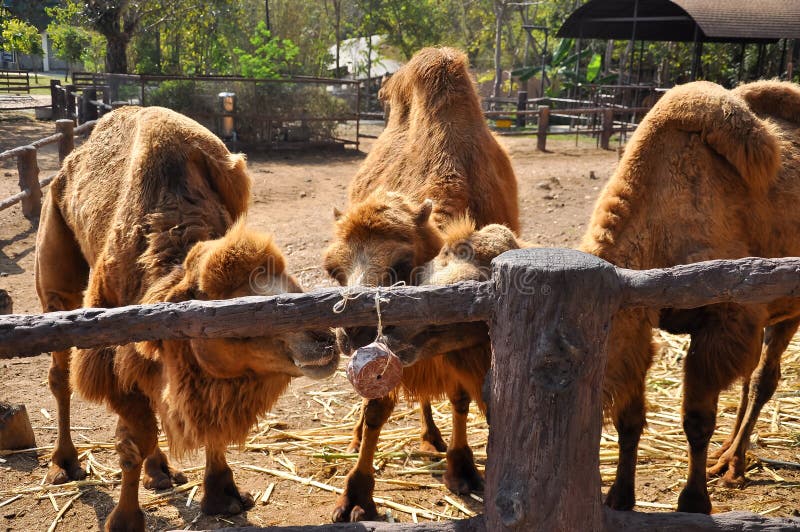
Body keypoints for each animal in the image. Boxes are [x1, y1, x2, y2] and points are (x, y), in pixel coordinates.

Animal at [35, 106, 337, 531]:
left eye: (291, 283)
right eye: (242, 319)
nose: (324, 339)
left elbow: (202, 423)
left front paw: (223, 495)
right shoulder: (109, 346)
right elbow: (133, 437)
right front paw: (124, 520)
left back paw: (160, 471)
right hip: (56, 260)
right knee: (60, 371)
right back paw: (64, 465)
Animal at [322, 46, 518, 522]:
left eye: (403, 264)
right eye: (333, 271)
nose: (353, 330)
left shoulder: (463, 345)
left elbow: (460, 397)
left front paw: (463, 469)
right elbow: (377, 407)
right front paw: (356, 495)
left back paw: (434, 437)